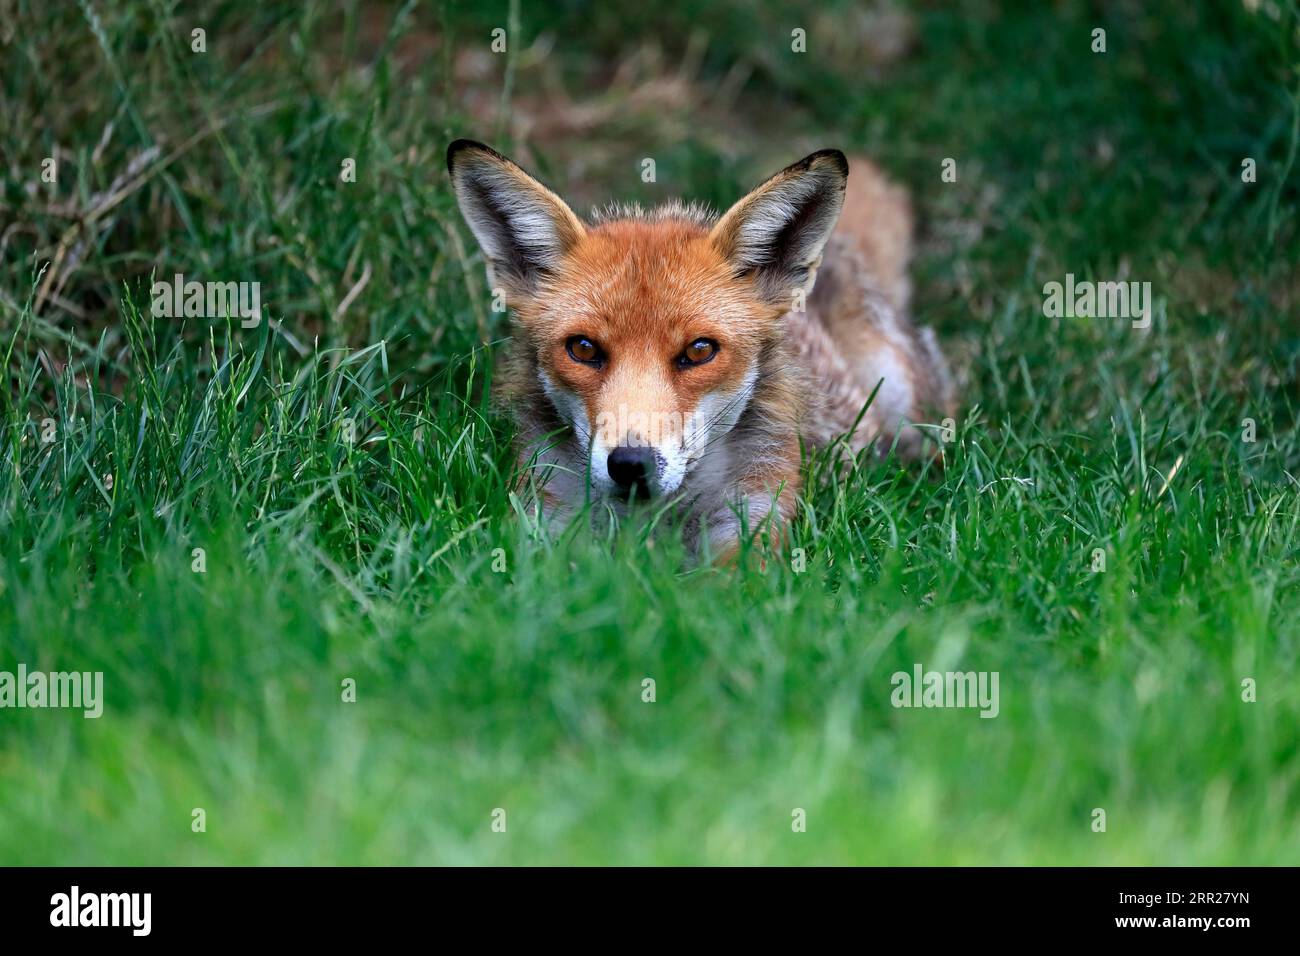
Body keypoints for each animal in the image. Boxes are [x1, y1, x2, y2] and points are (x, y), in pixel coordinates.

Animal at [446, 139, 954, 562]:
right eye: (584, 348)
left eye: (699, 351)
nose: (631, 464)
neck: (648, 528)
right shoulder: (541, 522)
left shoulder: (752, 525)